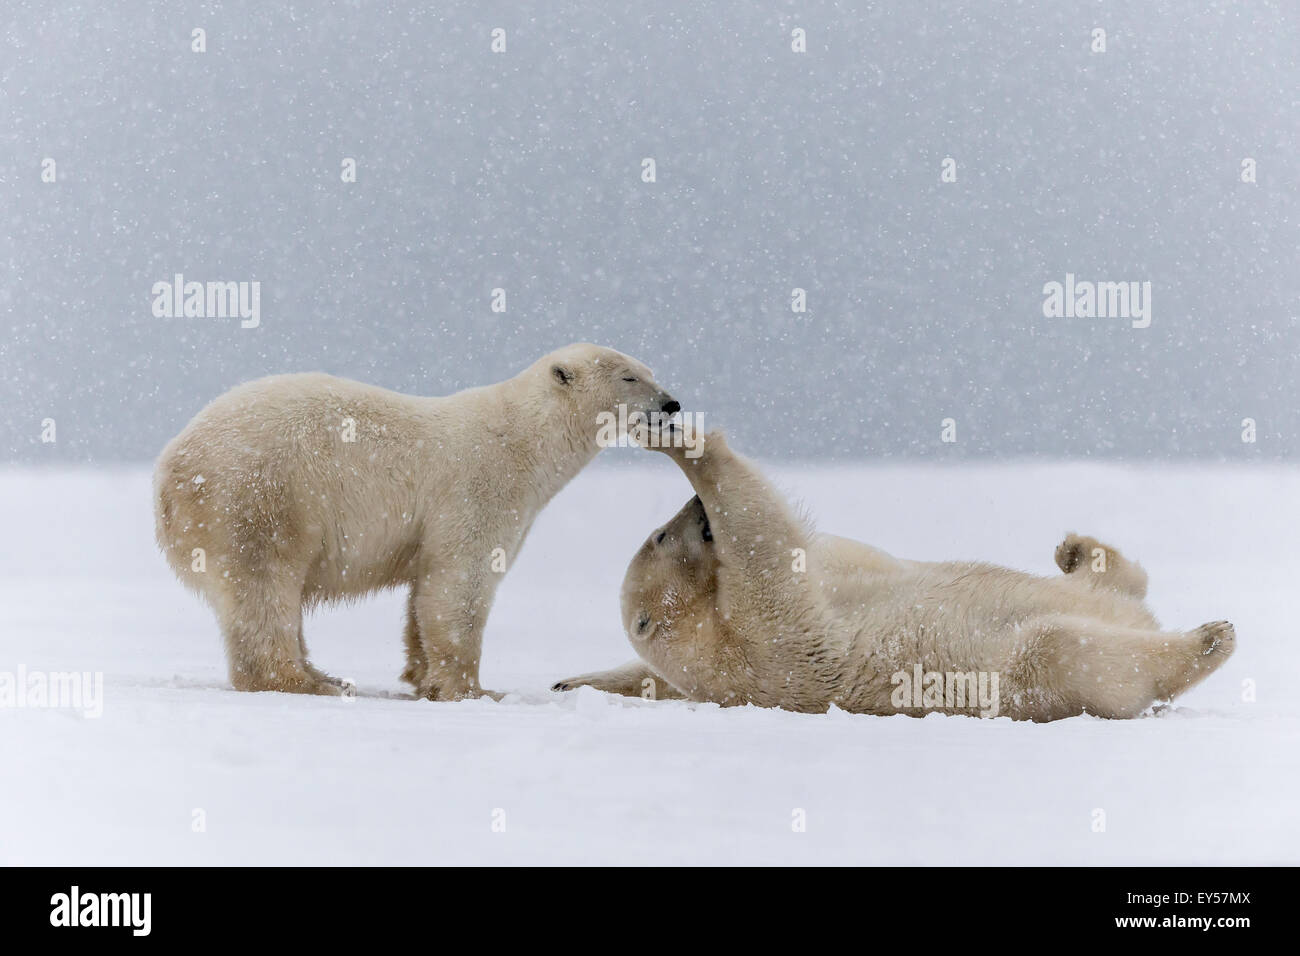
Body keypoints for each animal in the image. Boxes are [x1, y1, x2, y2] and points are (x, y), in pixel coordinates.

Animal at [154, 343, 680, 700]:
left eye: (650, 372)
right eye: (630, 378)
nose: (671, 404)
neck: (526, 442)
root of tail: (169, 472)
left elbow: (425, 591)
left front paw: (422, 677)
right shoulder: (480, 488)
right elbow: (460, 584)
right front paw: (475, 690)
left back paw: (322, 674)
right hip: (260, 496)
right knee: (265, 584)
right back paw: (304, 682)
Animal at [552, 430, 1235, 721]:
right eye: (661, 537)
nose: (693, 511)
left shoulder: (832, 575)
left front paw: (571, 680)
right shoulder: (764, 650)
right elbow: (768, 551)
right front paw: (676, 437)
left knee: (1105, 586)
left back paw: (1076, 550)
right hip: (1029, 677)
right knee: (1070, 647)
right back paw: (1209, 638)